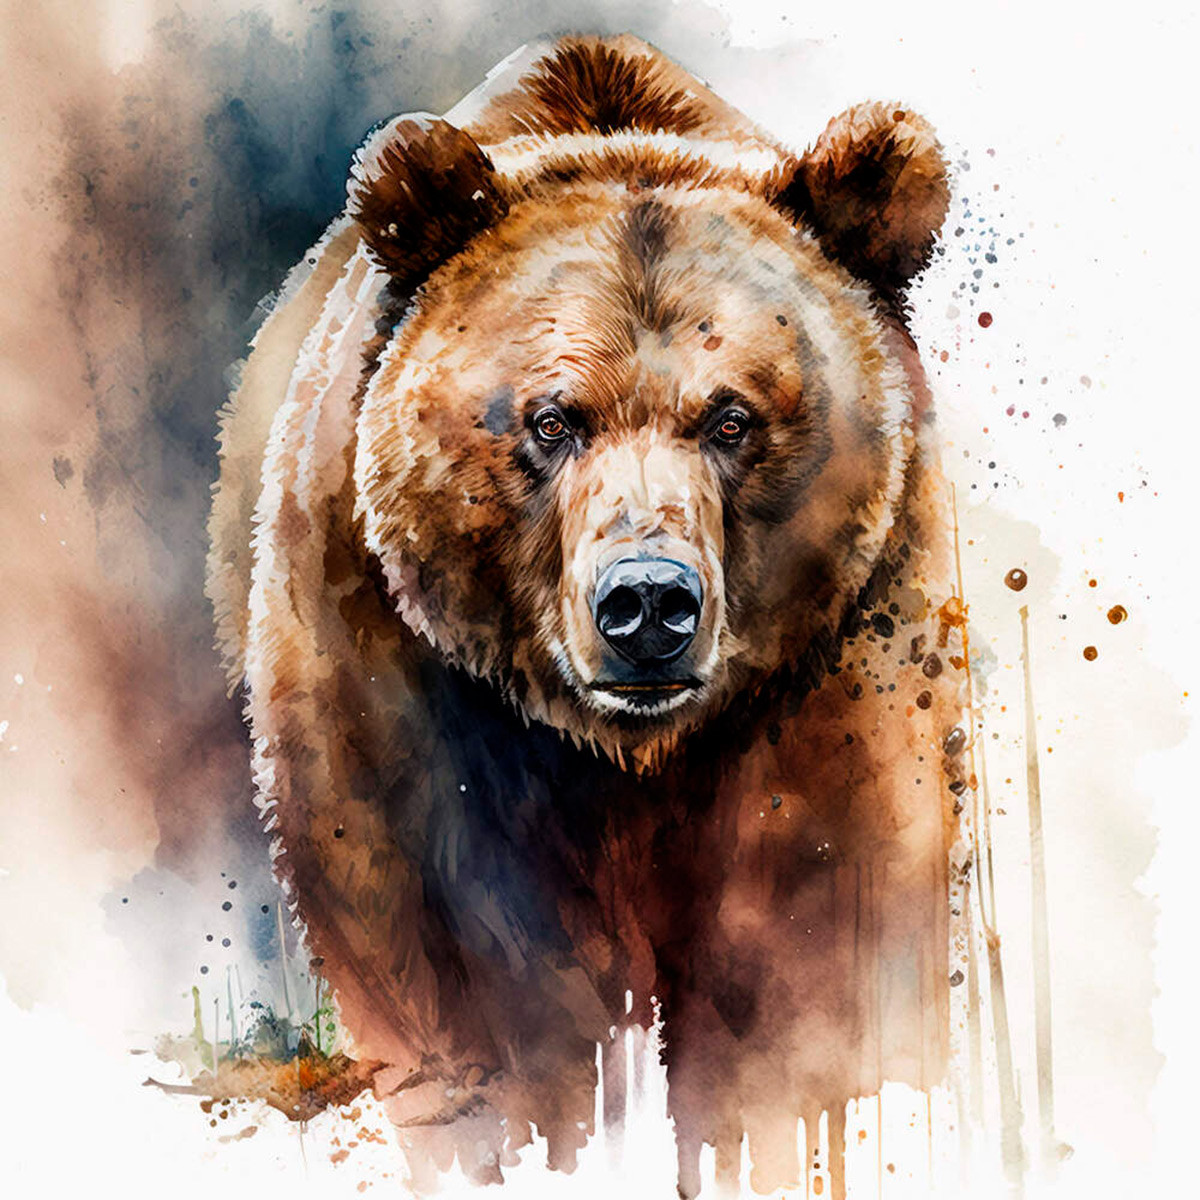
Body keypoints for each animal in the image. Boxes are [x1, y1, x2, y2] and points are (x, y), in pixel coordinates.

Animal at [207, 34, 965, 1199]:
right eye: (553, 419)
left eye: (732, 417)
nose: (647, 603)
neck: (625, 755)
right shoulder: (400, 663)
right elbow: (473, 990)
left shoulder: (840, 650)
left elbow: (817, 953)